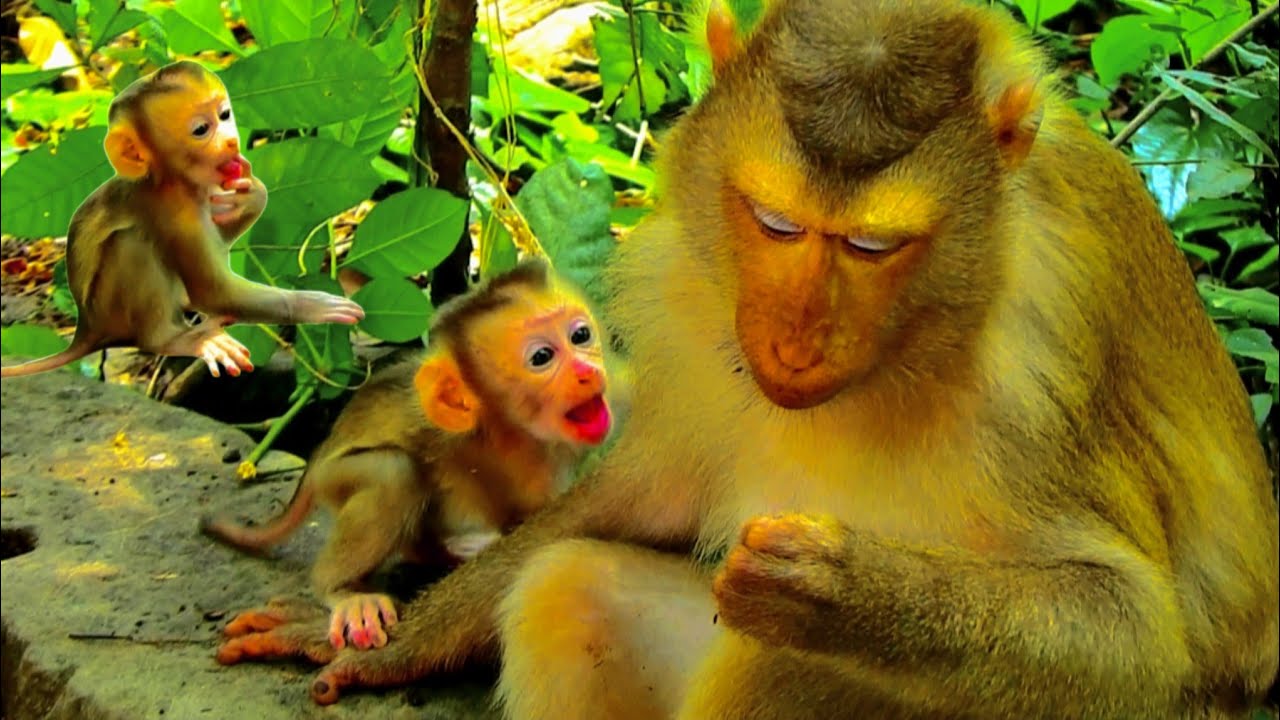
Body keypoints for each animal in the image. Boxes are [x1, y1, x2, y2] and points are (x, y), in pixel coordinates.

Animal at [0, 61, 364, 379]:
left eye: (225, 114)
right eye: (201, 130)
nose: (232, 141)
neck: (171, 179)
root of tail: (86, 329)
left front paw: (250, 195)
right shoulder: (173, 212)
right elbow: (214, 290)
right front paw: (312, 304)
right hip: (114, 311)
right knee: (133, 244)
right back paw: (173, 339)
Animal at [202, 259, 617, 653]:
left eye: (580, 335)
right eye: (542, 357)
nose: (587, 371)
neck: (512, 430)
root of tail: (320, 452)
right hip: (335, 477)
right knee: (394, 473)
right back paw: (343, 591)